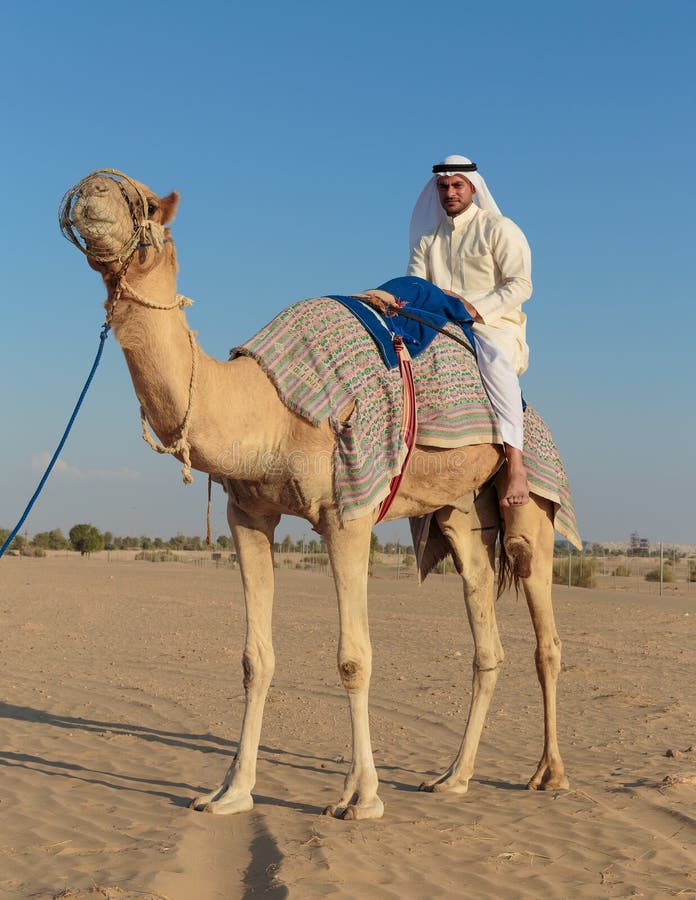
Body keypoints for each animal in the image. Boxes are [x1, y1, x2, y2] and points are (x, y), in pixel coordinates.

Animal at [61, 169, 570, 820]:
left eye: (146, 204)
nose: (92, 190)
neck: (263, 406)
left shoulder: (346, 514)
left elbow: (354, 659)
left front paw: (361, 798)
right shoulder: (248, 514)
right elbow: (255, 658)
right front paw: (230, 792)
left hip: (530, 500)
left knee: (544, 631)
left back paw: (549, 774)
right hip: (457, 510)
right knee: (484, 620)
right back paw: (453, 777)